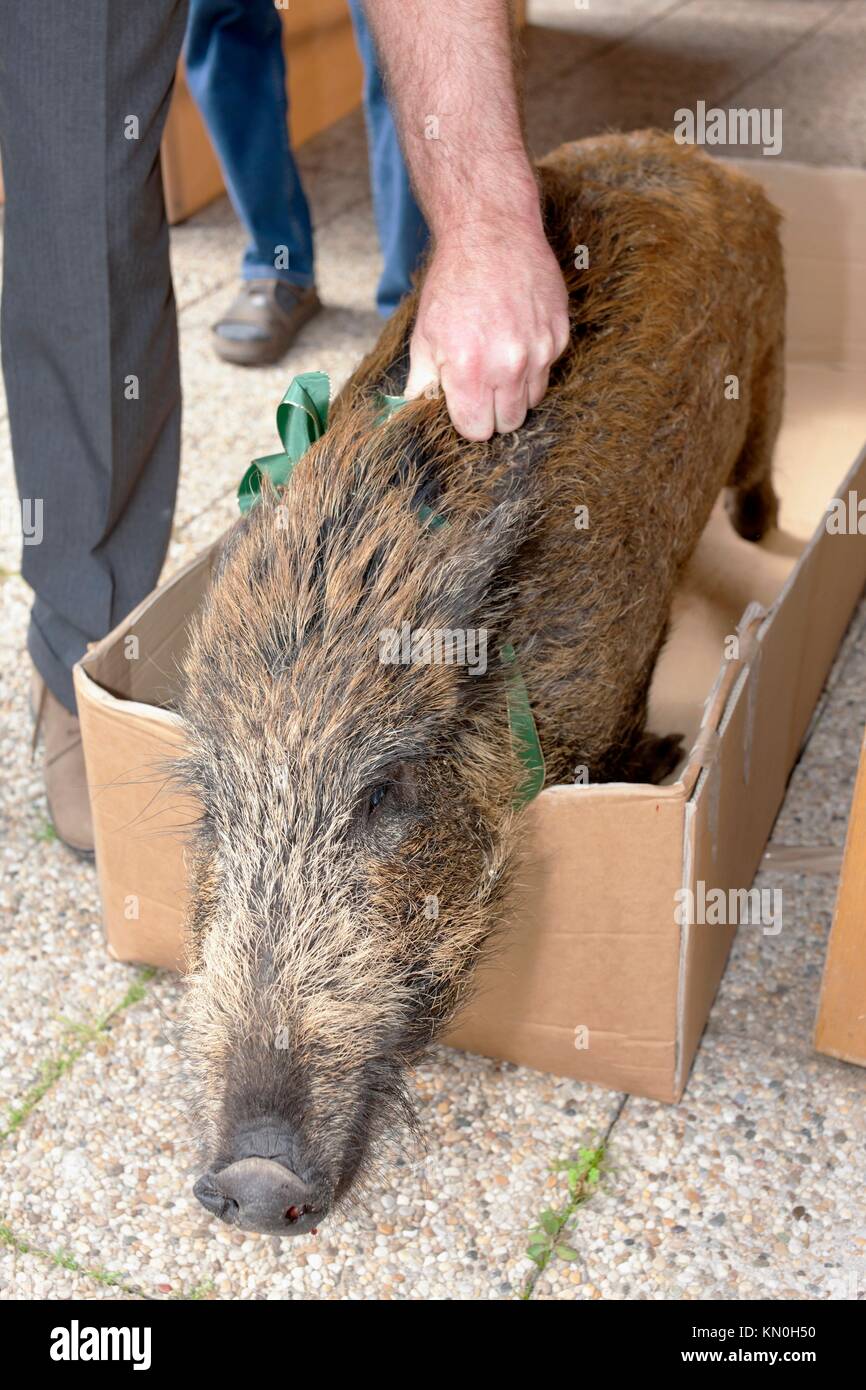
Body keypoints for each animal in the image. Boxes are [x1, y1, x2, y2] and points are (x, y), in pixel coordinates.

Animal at [180, 131, 784, 1235]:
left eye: (385, 793)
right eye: (211, 806)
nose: (251, 1181)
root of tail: (686, 152)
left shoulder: (623, 664)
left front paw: (670, 752)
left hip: (772, 352)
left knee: (757, 464)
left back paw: (765, 530)